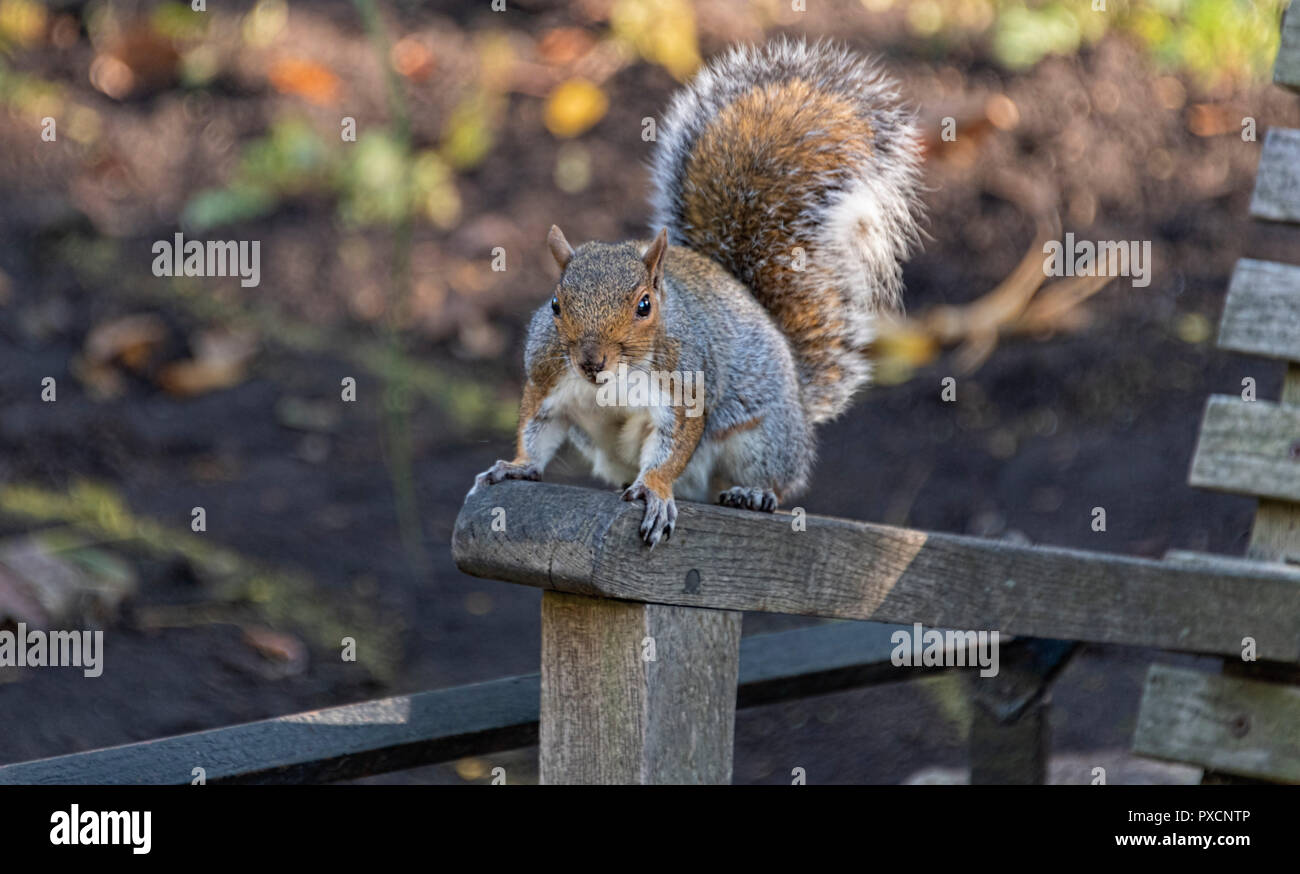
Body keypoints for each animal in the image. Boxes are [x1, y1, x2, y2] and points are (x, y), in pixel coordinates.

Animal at [470, 39, 923, 547]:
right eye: (555, 304)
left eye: (644, 305)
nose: (591, 362)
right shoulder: (546, 378)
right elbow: (537, 428)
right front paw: (516, 467)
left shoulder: (684, 387)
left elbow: (672, 449)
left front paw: (654, 490)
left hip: (761, 437)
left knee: (773, 477)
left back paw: (753, 493)